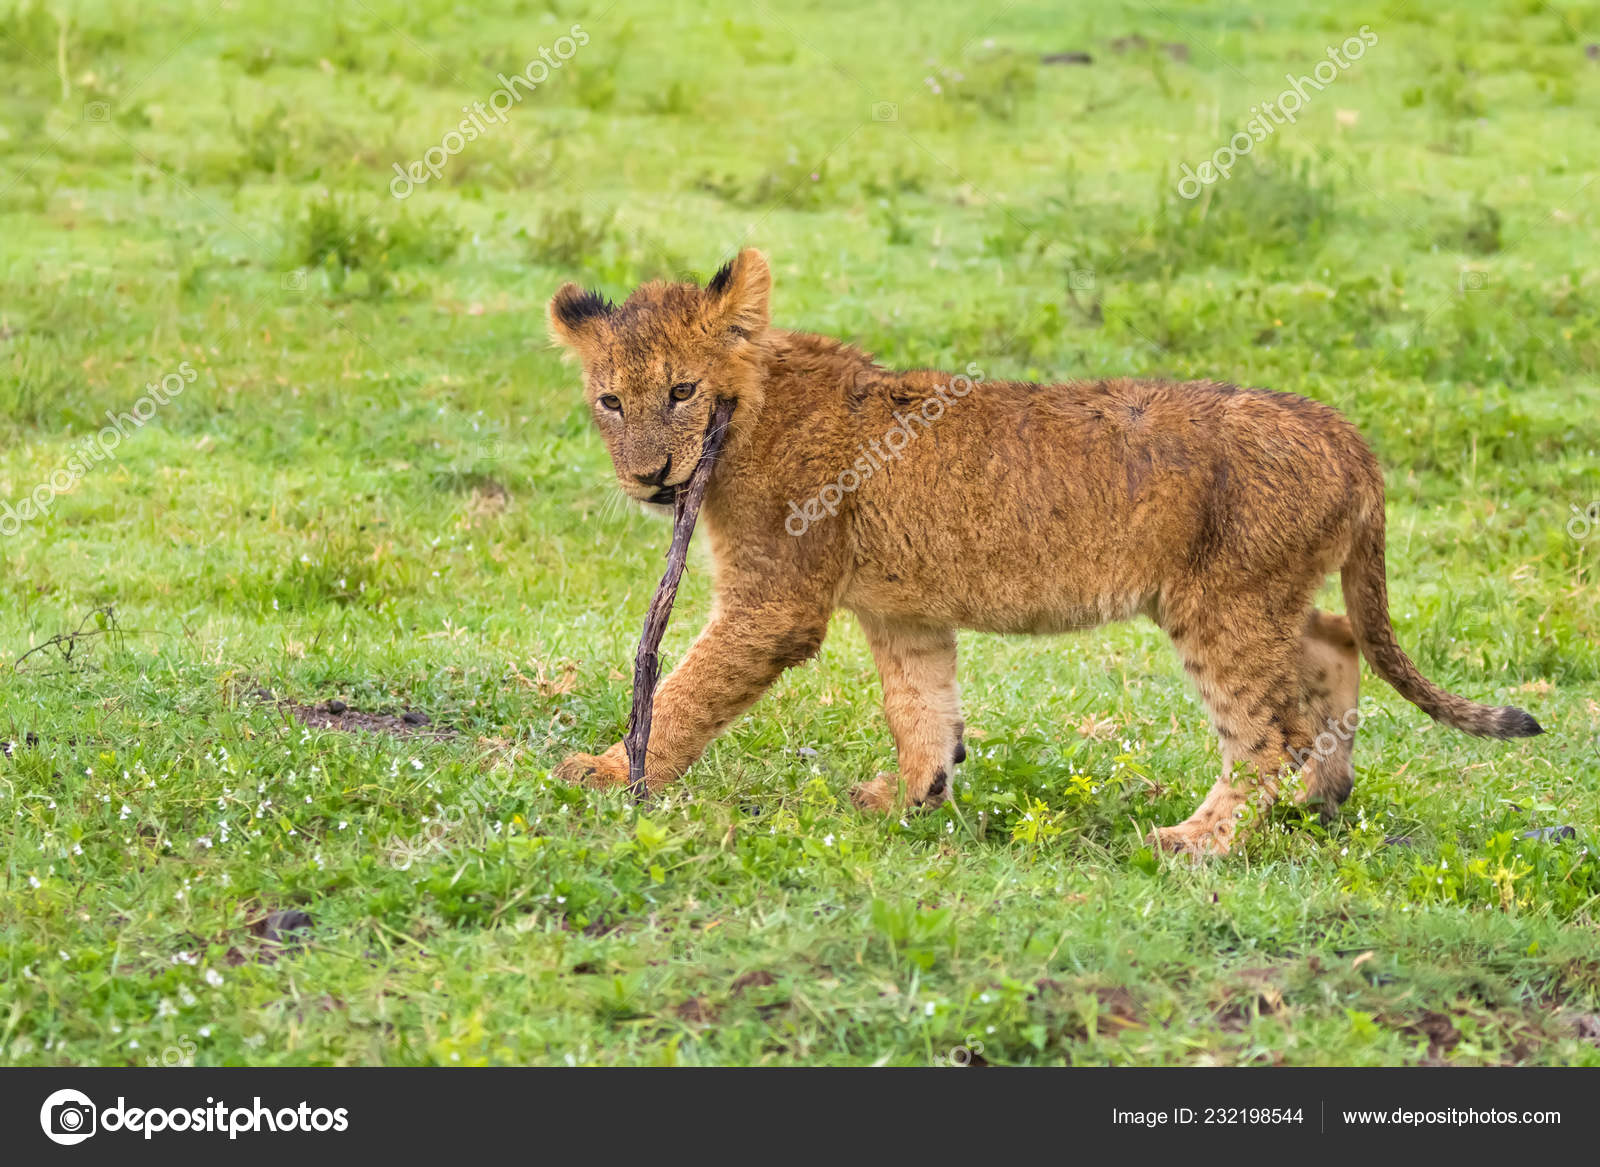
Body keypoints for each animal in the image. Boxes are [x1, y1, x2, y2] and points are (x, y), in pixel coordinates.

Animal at [545, 249, 1541, 855]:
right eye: (610, 401)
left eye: (681, 391)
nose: (650, 477)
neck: (752, 412)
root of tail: (1344, 430)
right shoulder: (903, 612)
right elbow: (922, 709)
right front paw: (911, 799)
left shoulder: (774, 601)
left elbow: (685, 691)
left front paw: (607, 773)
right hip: (1264, 595)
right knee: (1334, 643)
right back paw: (1323, 801)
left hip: (1222, 605)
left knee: (1270, 738)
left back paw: (1195, 843)